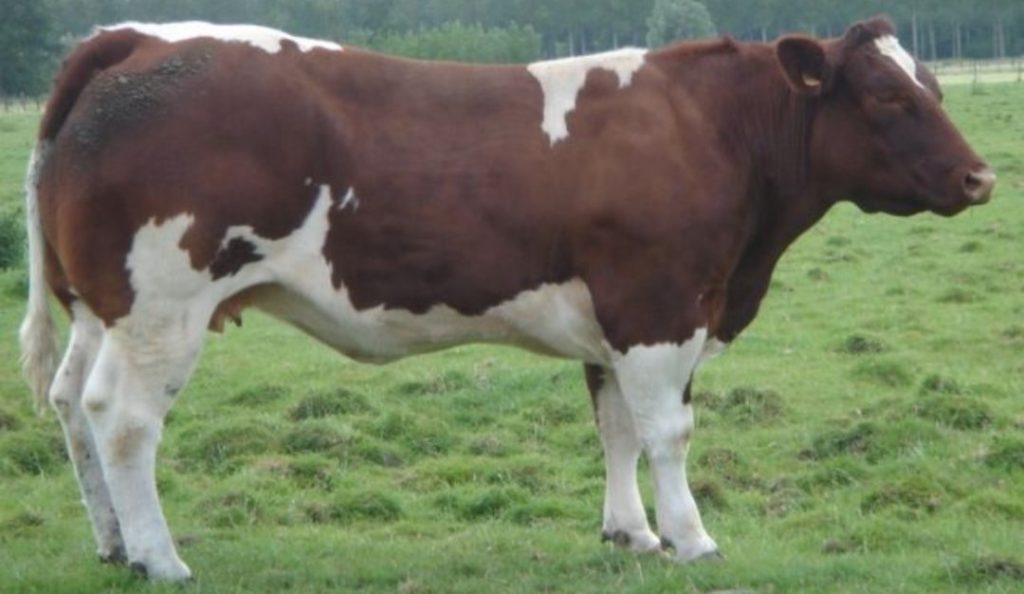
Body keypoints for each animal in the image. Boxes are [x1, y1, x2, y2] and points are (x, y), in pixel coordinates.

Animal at [19, 17, 993, 581]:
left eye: (933, 85)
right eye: (885, 95)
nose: (981, 177)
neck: (710, 131)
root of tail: (141, 41)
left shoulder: (619, 320)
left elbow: (617, 429)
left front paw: (631, 535)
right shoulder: (662, 304)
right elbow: (668, 433)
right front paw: (691, 538)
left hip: (101, 306)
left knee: (72, 405)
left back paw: (114, 543)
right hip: (163, 309)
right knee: (124, 420)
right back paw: (159, 556)